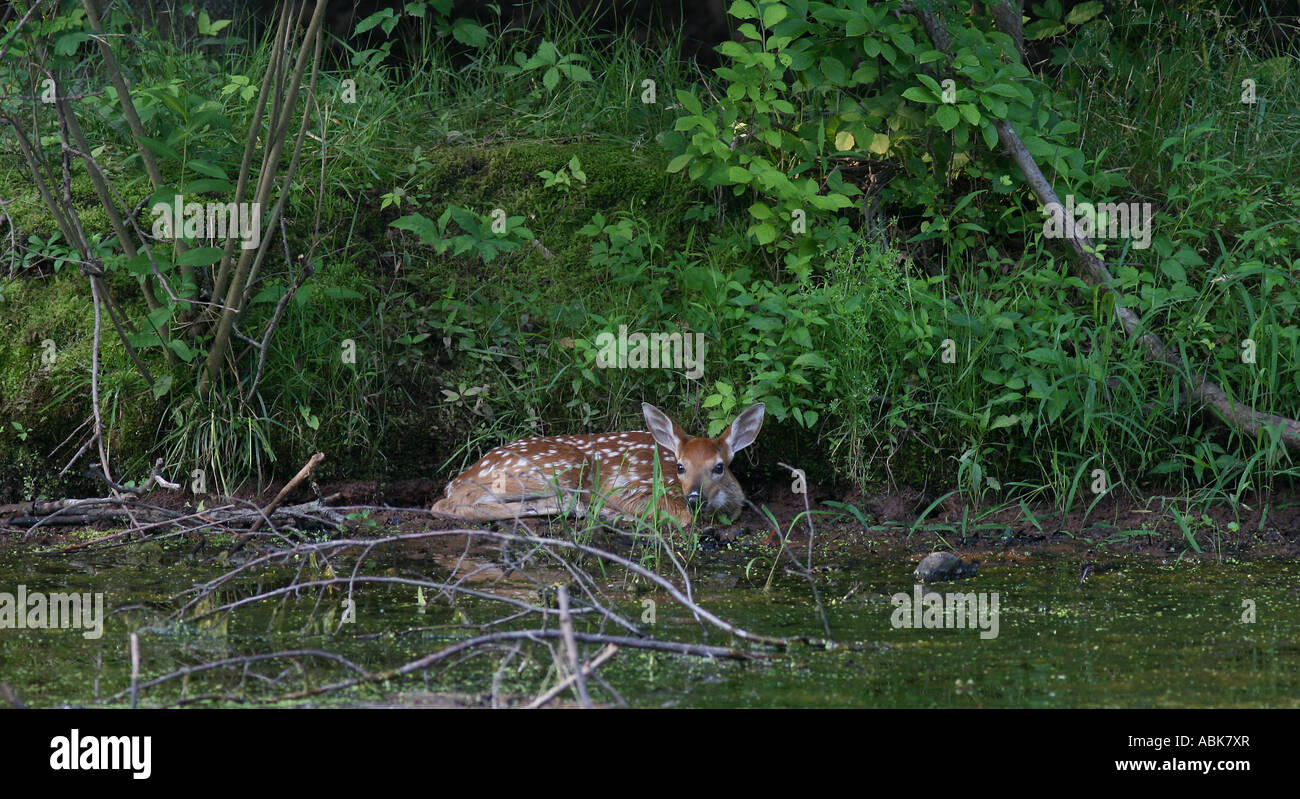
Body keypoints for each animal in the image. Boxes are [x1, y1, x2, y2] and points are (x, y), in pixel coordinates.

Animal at [432, 403, 766, 527]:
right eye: (680, 466)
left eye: (719, 467)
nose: (695, 497)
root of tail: (459, 478)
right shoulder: (626, 486)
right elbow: (678, 516)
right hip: (562, 465)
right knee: (448, 503)